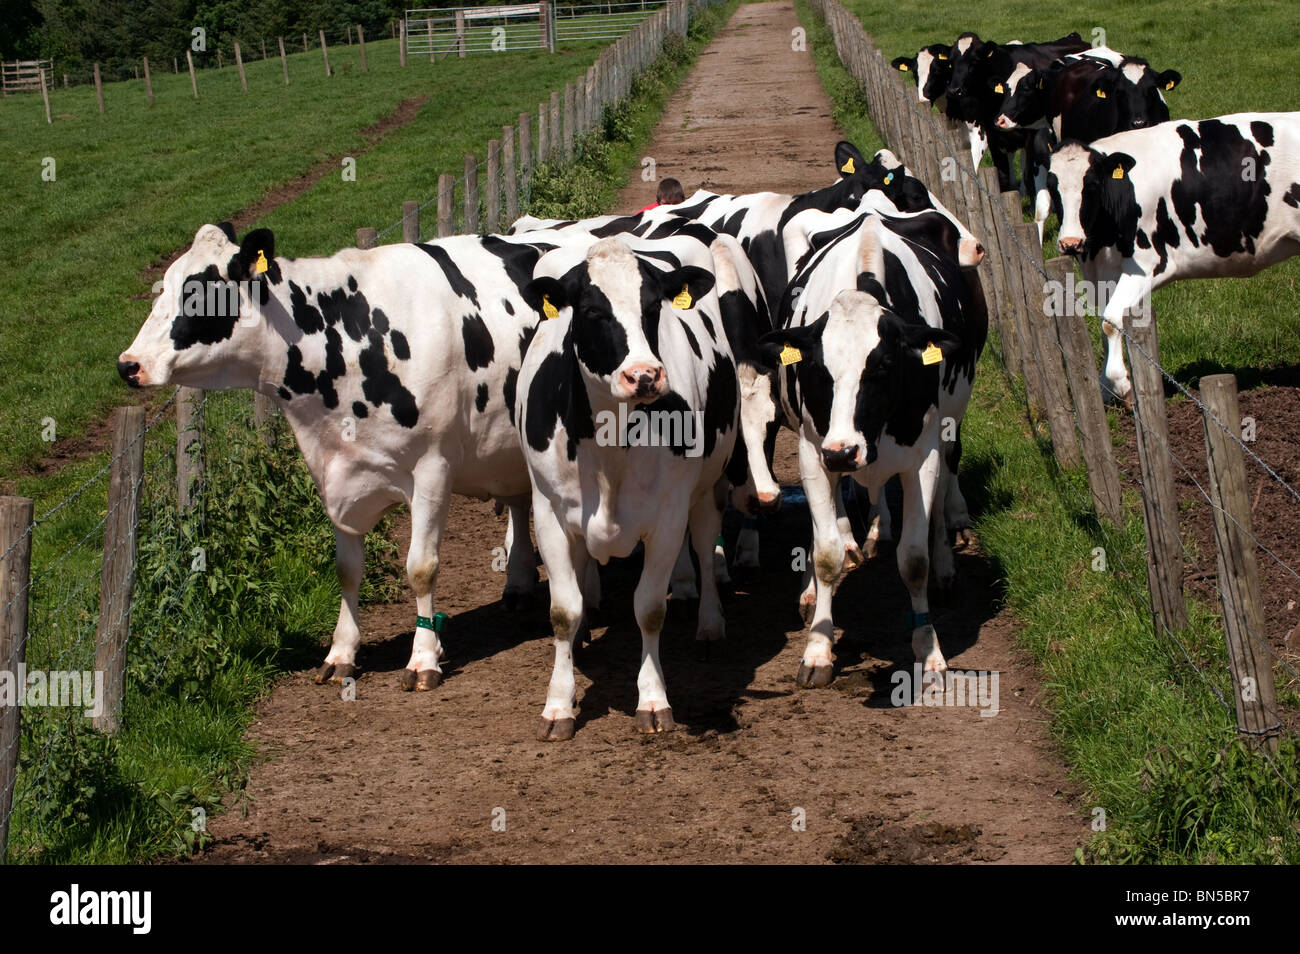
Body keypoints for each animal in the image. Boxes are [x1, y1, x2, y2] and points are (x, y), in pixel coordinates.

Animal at [118, 223, 550, 691]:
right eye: (164, 287)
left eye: (200, 293)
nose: (128, 365)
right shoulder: (334, 471)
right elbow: (346, 568)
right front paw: (341, 652)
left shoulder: (433, 467)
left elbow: (421, 567)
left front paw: (423, 659)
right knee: (519, 501)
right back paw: (519, 583)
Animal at [516, 235, 740, 739]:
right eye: (591, 311)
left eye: (653, 306)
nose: (644, 375)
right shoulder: (549, 511)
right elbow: (562, 610)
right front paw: (558, 705)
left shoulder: (668, 513)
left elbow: (650, 607)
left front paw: (653, 699)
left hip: (705, 487)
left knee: (703, 544)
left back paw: (710, 622)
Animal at [758, 211, 980, 687]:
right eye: (817, 369)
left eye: (883, 366)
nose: (844, 453)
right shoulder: (813, 452)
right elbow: (826, 554)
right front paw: (818, 649)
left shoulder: (923, 456)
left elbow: (914, 558)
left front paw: (929, 652)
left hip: (948, 431)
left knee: (938, 503)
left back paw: (944, 569)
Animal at [1048, 113, 1300, 402]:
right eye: (1052, 187)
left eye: (1091, 186)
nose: (1070, 242)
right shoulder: (1103, 273)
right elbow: (1104, 323)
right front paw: (1105, 388)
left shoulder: (1148, 265)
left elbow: (1111, 320)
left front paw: (1120, 383)